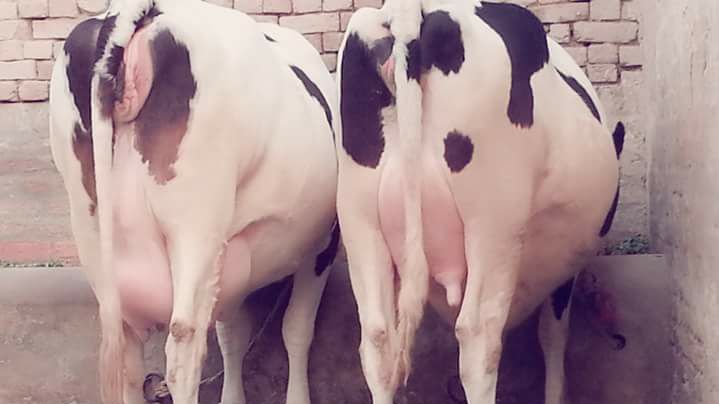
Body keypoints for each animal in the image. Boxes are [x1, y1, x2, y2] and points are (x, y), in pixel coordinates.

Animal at [48, 0, 339, 403]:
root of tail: (135, 12)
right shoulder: (323, 242)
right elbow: (296, 330)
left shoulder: (234, 260)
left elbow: (234, 336)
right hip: (195, 225)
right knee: (184, 346)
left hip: (91, 231)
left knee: (126, 353)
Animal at [335, 1, 625, 403]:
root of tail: (412, 12)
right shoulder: (564, 271)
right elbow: (553, 338)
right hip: (494, 223)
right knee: (478, 339)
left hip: (359, 219)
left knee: (377, 338)